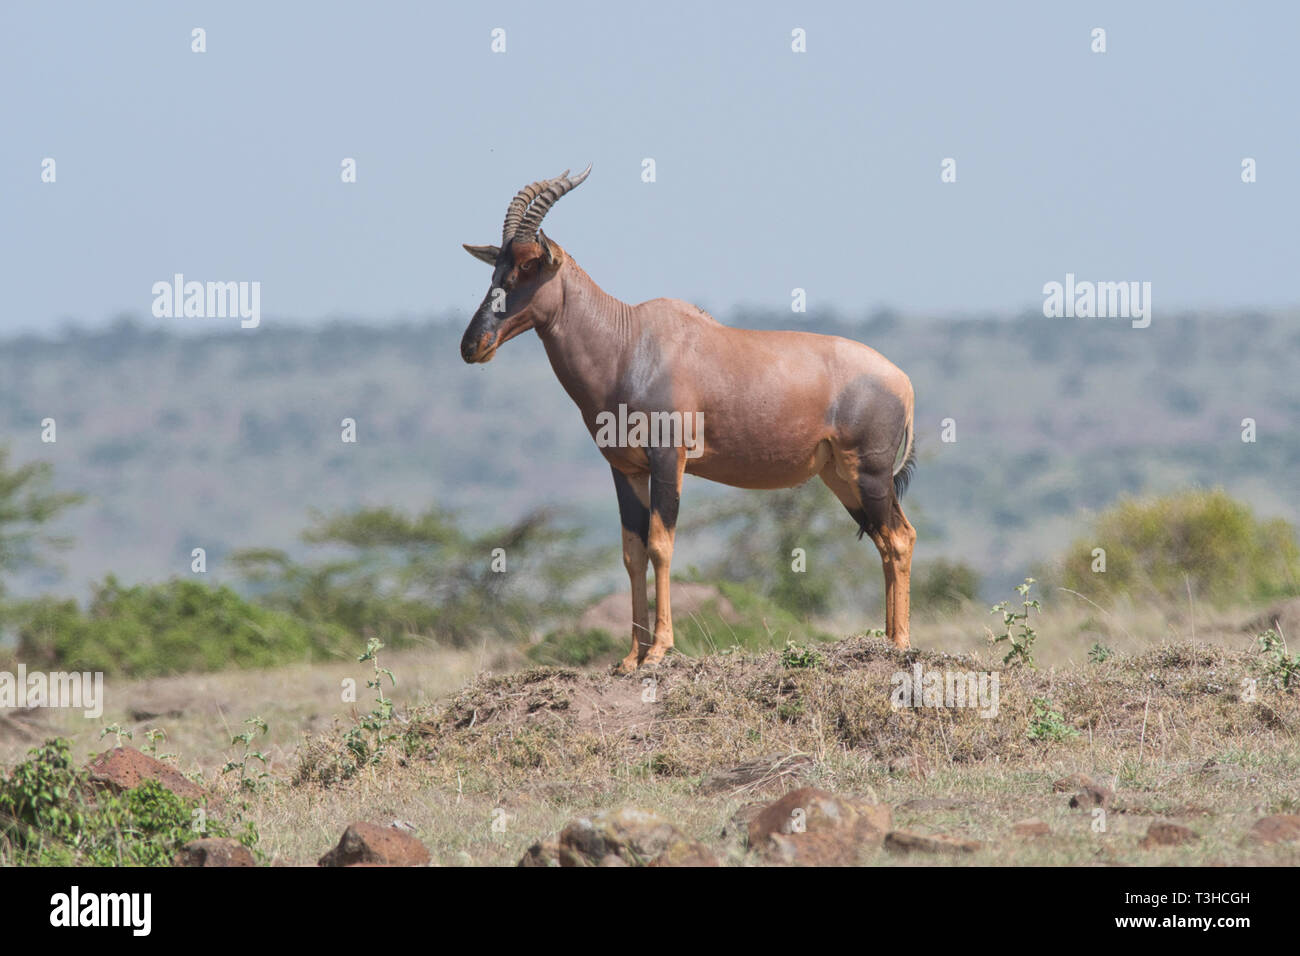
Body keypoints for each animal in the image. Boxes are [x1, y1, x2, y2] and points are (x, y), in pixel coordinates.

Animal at [461, 166, 917, 673]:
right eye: (496, 266)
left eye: (529, 266)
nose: (472, 345)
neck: (628, 341)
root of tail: (901, 381)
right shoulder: (625, 468)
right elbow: (633, 551)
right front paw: (631, 657)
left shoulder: (668, 459)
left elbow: (661, 544)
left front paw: (659, 650)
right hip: (840, 477)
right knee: (888, 538)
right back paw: (887, 641)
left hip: (869, 473)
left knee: (899, 538)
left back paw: (900, 644)